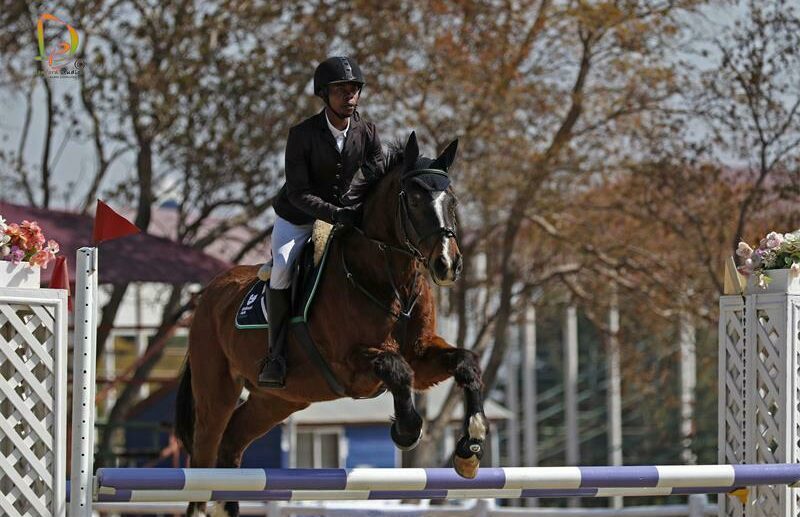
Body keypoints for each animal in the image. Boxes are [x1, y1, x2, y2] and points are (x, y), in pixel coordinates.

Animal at [174, 132, 488, 517]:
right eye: (414, 199)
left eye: (452, 199)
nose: (447, 264)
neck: (388, 279)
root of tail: (208, 295)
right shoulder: (350, 364)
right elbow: (397, 370)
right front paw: (406, 430)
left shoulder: (422, 355)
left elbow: (465, 362)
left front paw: (471, 446)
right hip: (216, 393)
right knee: (204, 455)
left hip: (277, 400)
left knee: (231, 443)